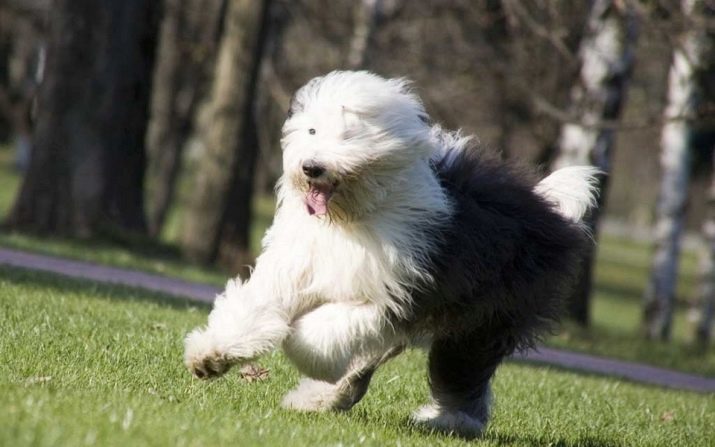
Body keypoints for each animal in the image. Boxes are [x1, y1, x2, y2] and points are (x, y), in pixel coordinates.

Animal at [185, 70, 600, 438]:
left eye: (349, 134)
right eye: (312, 131)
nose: (311, 167)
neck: (349, 218)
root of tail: (549, 211)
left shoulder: (388, 296)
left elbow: (318, 333)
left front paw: (300, 347)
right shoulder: (296, 266)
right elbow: (256, 307)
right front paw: (211, 355)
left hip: (486, 317)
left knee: (462, 369)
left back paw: (449, 421)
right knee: (376, 359)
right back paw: (321, 399)